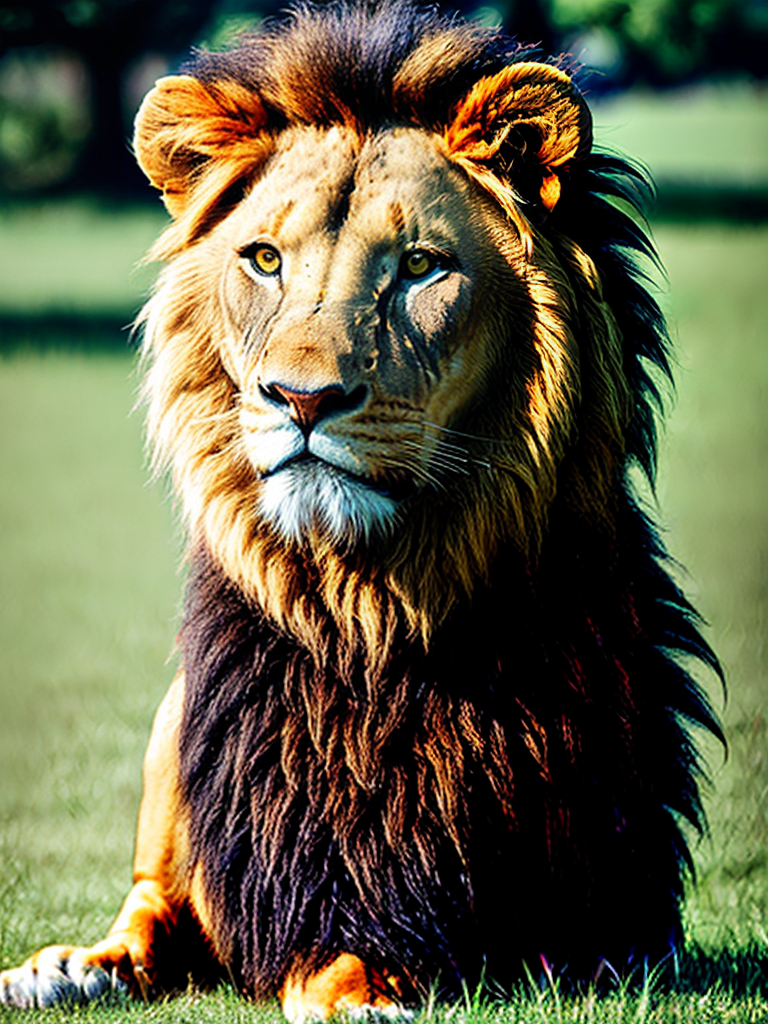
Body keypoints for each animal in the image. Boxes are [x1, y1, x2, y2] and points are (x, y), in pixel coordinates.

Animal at [0, 1, 721, 1016]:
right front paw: (356, 984)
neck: (366, 606)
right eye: (264, 259)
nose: (301, 398)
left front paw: (370, 984)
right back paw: (65, 967)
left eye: (419, 267)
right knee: (151, 908)